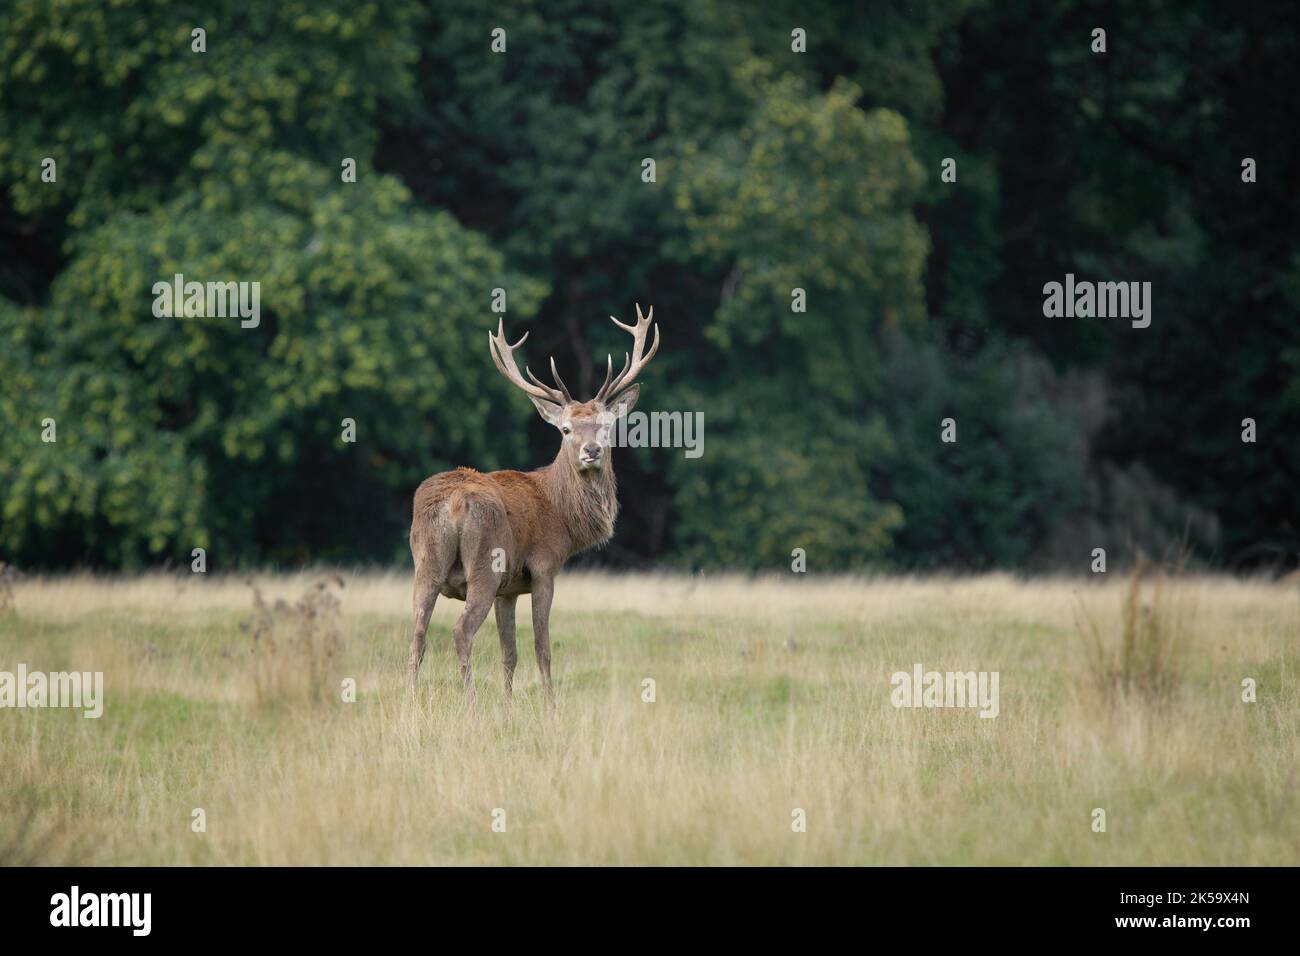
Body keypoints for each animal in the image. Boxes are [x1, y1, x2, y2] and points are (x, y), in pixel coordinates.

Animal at [408, 304, 660, 707]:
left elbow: (509, 653)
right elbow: (542, 648)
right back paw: (471, 705)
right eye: (566, 430)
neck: (562, 515)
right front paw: (550, 708)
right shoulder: (543, 567)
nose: (592, 451)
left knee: (417, 635)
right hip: (485, 565)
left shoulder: (508, 589)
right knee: (461, 631)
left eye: (606, 426)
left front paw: (509, 708)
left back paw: (410, 701)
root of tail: (455, 503)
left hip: (425, 564)